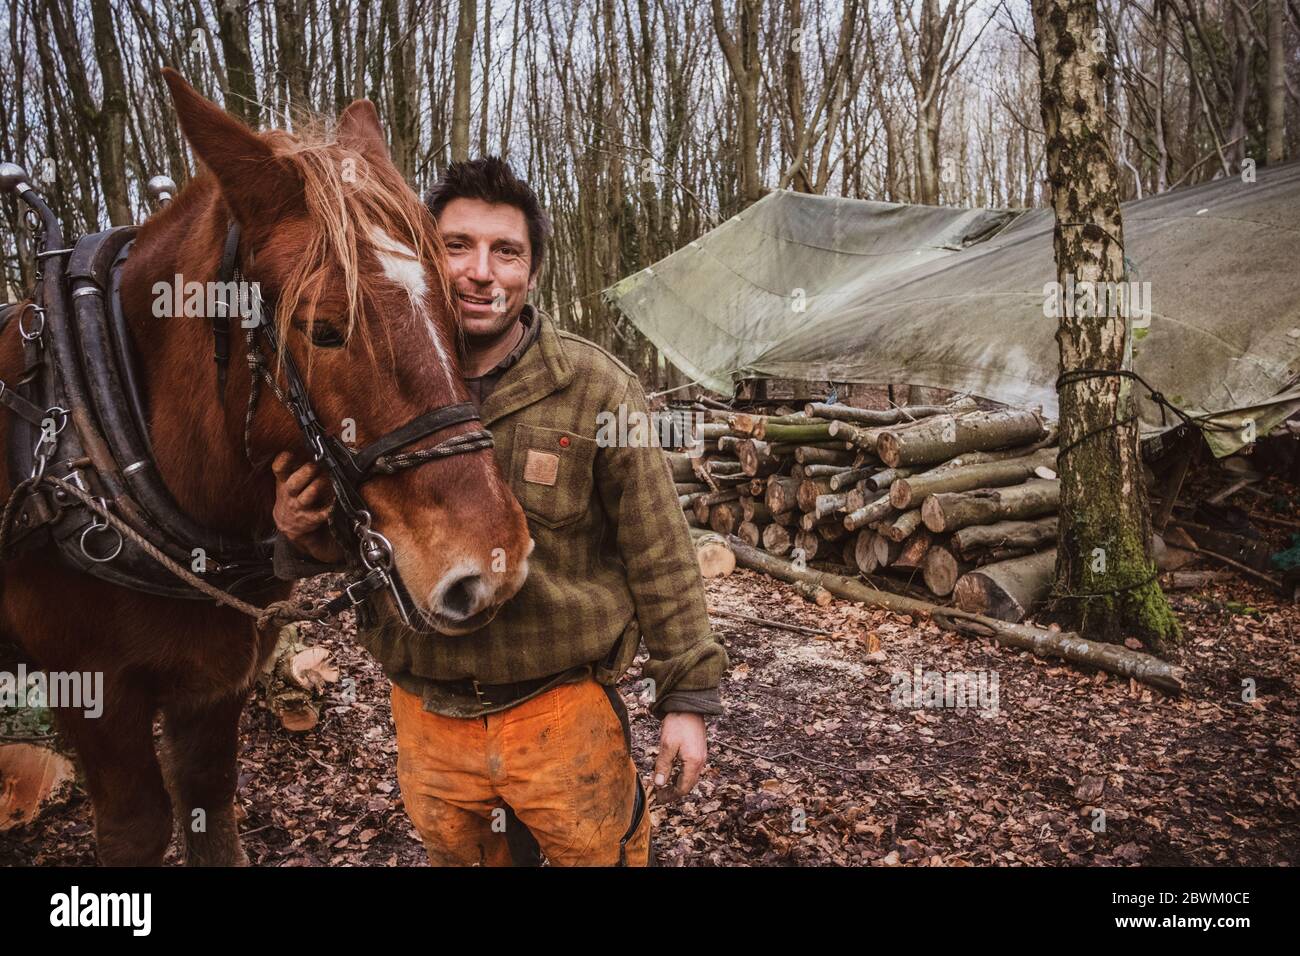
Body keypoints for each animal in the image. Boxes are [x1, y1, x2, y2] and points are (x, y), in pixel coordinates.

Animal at [0, 70, 532, 865]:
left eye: (453, 306)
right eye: (323, 329)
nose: (493, 566)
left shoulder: (213, 683)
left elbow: (209, 805)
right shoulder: (94, 694)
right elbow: (136, 826)